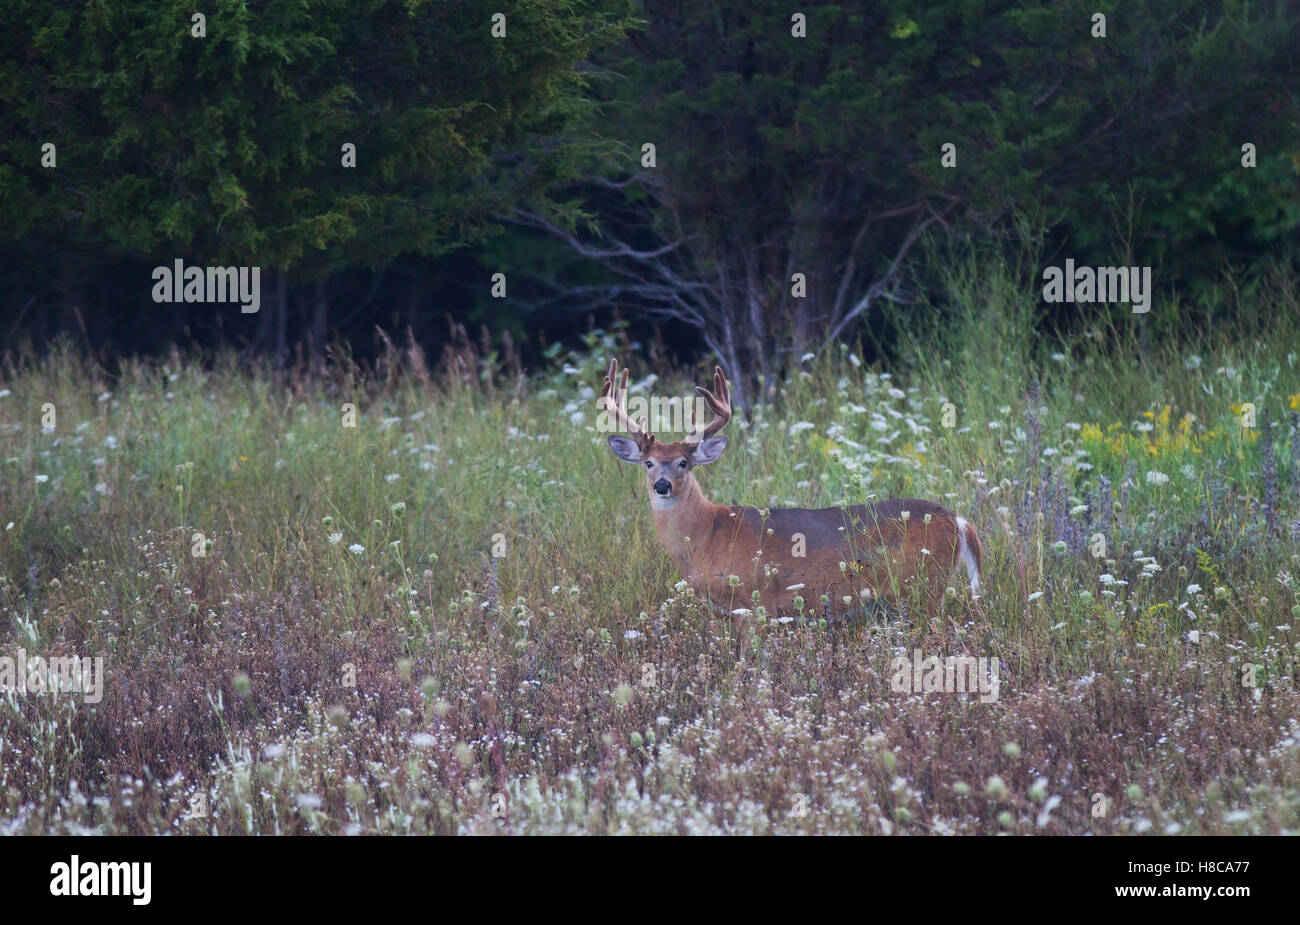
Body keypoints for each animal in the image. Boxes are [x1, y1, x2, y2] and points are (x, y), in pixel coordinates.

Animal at [599, 358, 982, 619]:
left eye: (683, 462)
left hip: (923, 586)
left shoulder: (754, 602)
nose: (663, 485)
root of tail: (959, 521)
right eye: (648, 463)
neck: (708, 534)